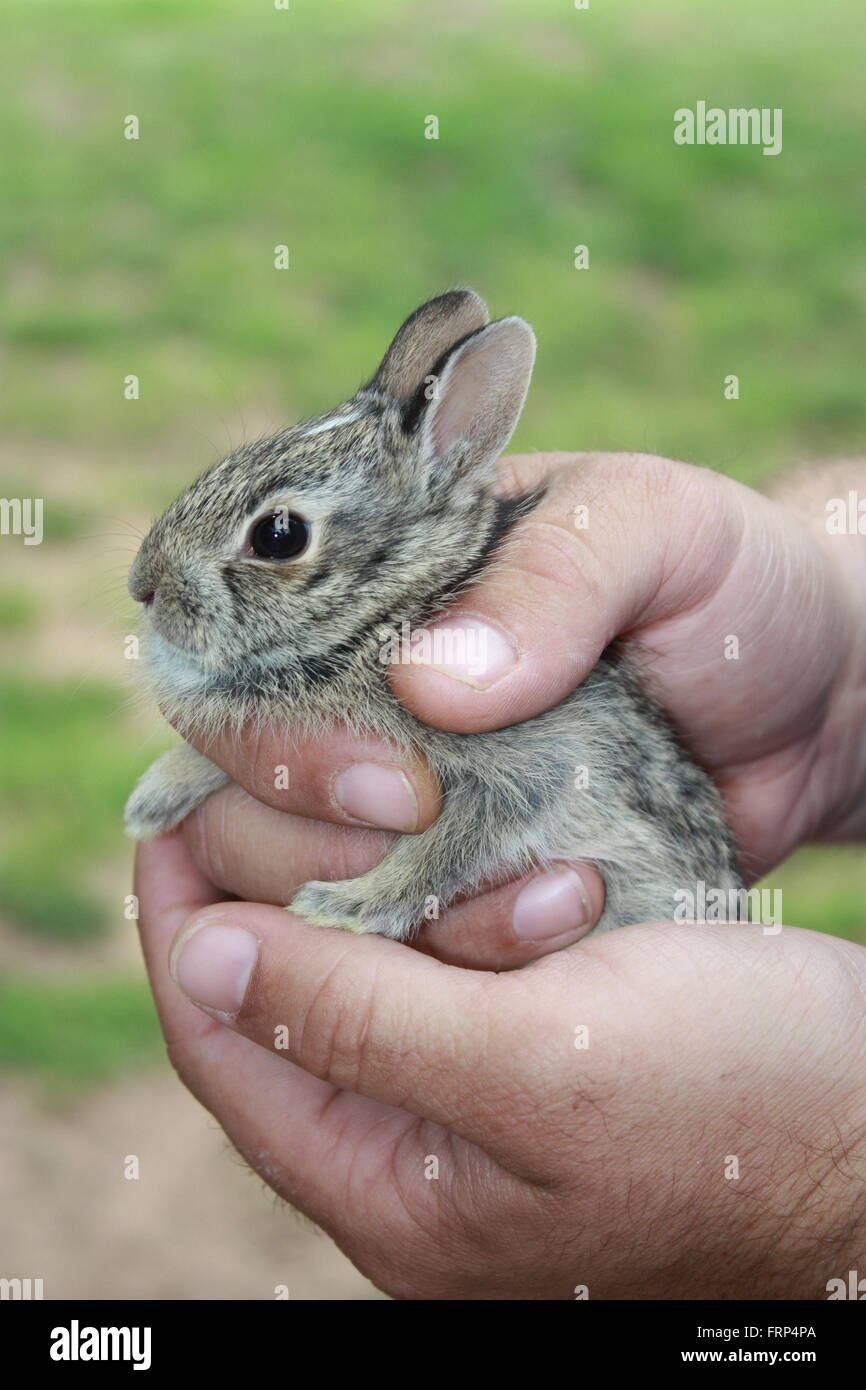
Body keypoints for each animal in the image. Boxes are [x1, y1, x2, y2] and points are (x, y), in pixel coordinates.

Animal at [124, 288, 744, 938]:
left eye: (279, 535)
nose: (143, 586)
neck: (395, 607)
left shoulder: (541, 766)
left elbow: (449, 849)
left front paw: (344, 905)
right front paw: (154, 798)